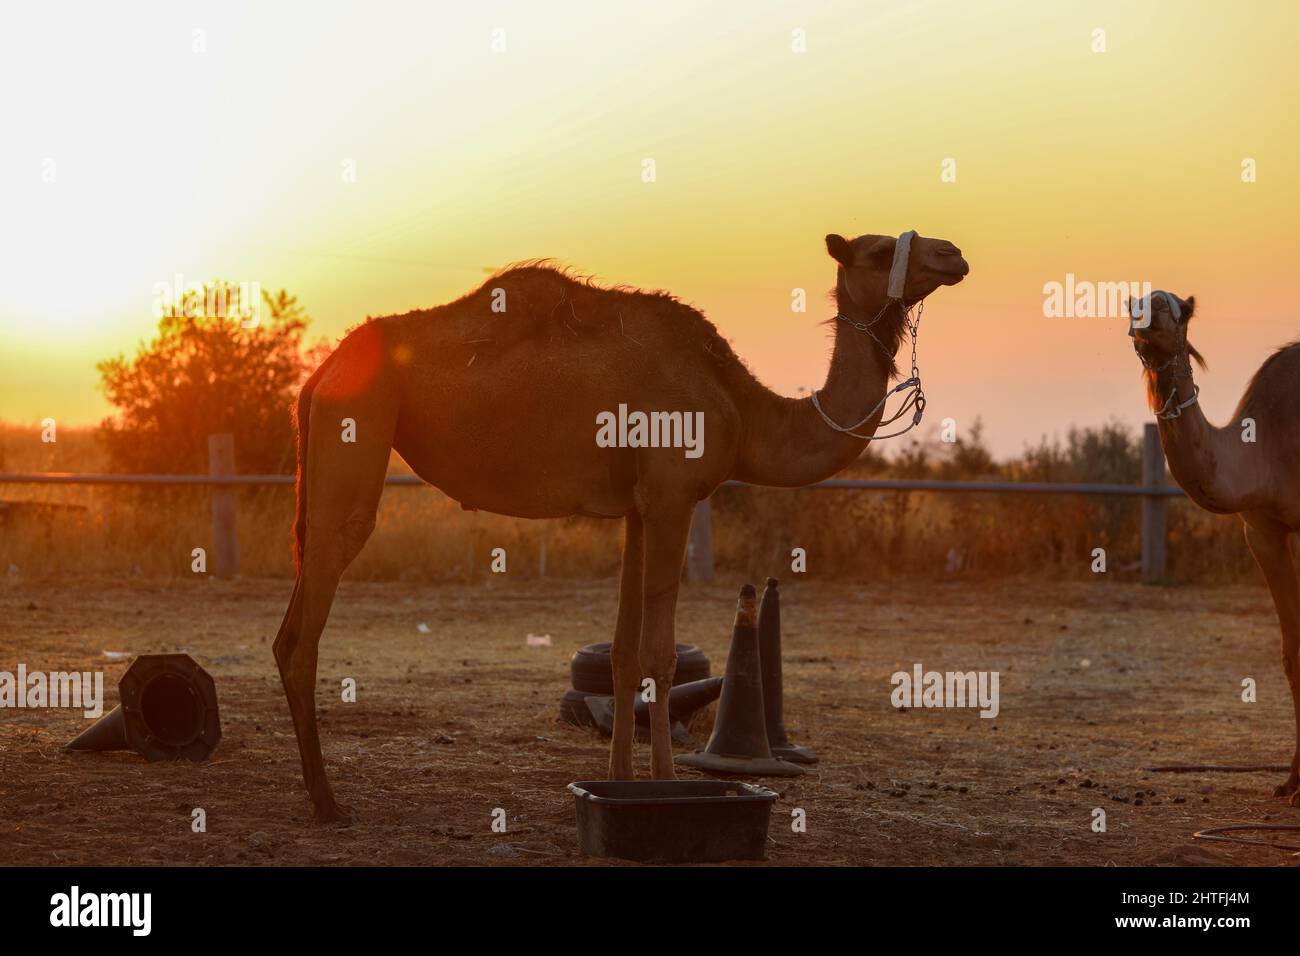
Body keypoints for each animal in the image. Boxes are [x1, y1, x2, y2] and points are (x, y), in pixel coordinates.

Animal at [273, 230, 969, 822]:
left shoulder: (639, 506)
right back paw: (326, 801)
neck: (744, 408)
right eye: (877, 250)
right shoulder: (672, 496)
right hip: (359, 426)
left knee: (289, 628)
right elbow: (660, 652)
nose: (953, 254)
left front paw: (619, 779)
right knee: (306, 625)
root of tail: (322, 373)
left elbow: (623, 652)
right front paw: (665, 783)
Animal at [1128, 290, 1300, 803]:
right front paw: (1291, 781)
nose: (1142, 318)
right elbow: (1291, 651)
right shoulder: (1262, 529)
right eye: (1135, 302)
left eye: (1171, 306)